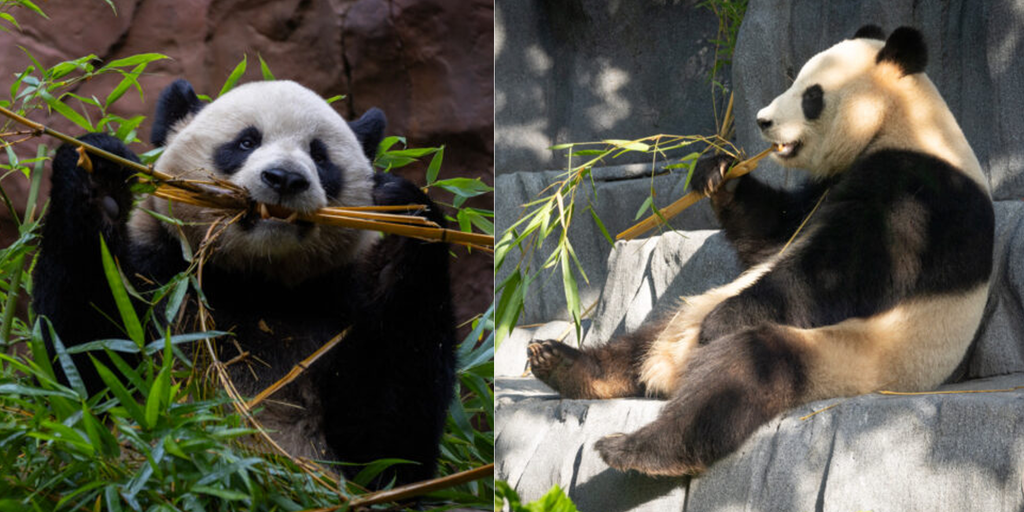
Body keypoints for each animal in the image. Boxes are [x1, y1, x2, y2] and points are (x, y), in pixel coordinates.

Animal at [33, 79, 456, 486]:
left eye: (320, 156)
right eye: (246, 141)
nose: (285, 178)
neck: (255, 282)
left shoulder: (340, 303)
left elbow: (388, 443)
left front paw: (408, 219)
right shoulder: (158, 276)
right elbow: (86, 373)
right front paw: (99, 174)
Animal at [527, 25, 994, 476]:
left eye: (812, 96)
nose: (763, 120)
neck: (909, 124)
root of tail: (671, 371)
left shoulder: (917, 195)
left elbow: (840, 270)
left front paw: (721, 323)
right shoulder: (825, 188)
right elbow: (774, 233)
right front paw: (718, 173)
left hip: (848, 357)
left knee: (743, 371)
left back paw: (640, 448)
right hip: (691, 315)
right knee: (647, 335)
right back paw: (566, 365)